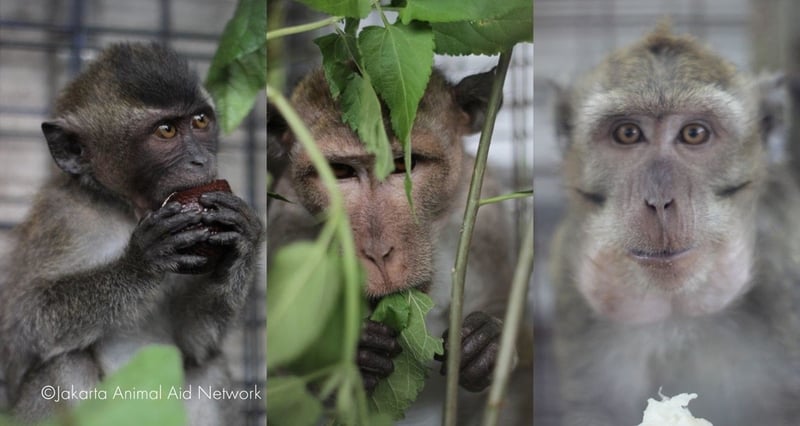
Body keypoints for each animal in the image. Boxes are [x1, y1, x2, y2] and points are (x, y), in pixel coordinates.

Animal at [0, 43, 264, 425]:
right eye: (166, 130)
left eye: (200, 121)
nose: (201, 161)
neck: (128, 210)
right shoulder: (61, 218)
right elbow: (23, 328)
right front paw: (141, 263)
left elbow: (197, 344)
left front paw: (245, 242)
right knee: (64, 363)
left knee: (208, 368)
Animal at [268, 68, 532, 425]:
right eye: (340, 171)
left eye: (402, 164)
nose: (378, 253)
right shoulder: (285, 230)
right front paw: (352, 356)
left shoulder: (483, 217)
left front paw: (488, 342)